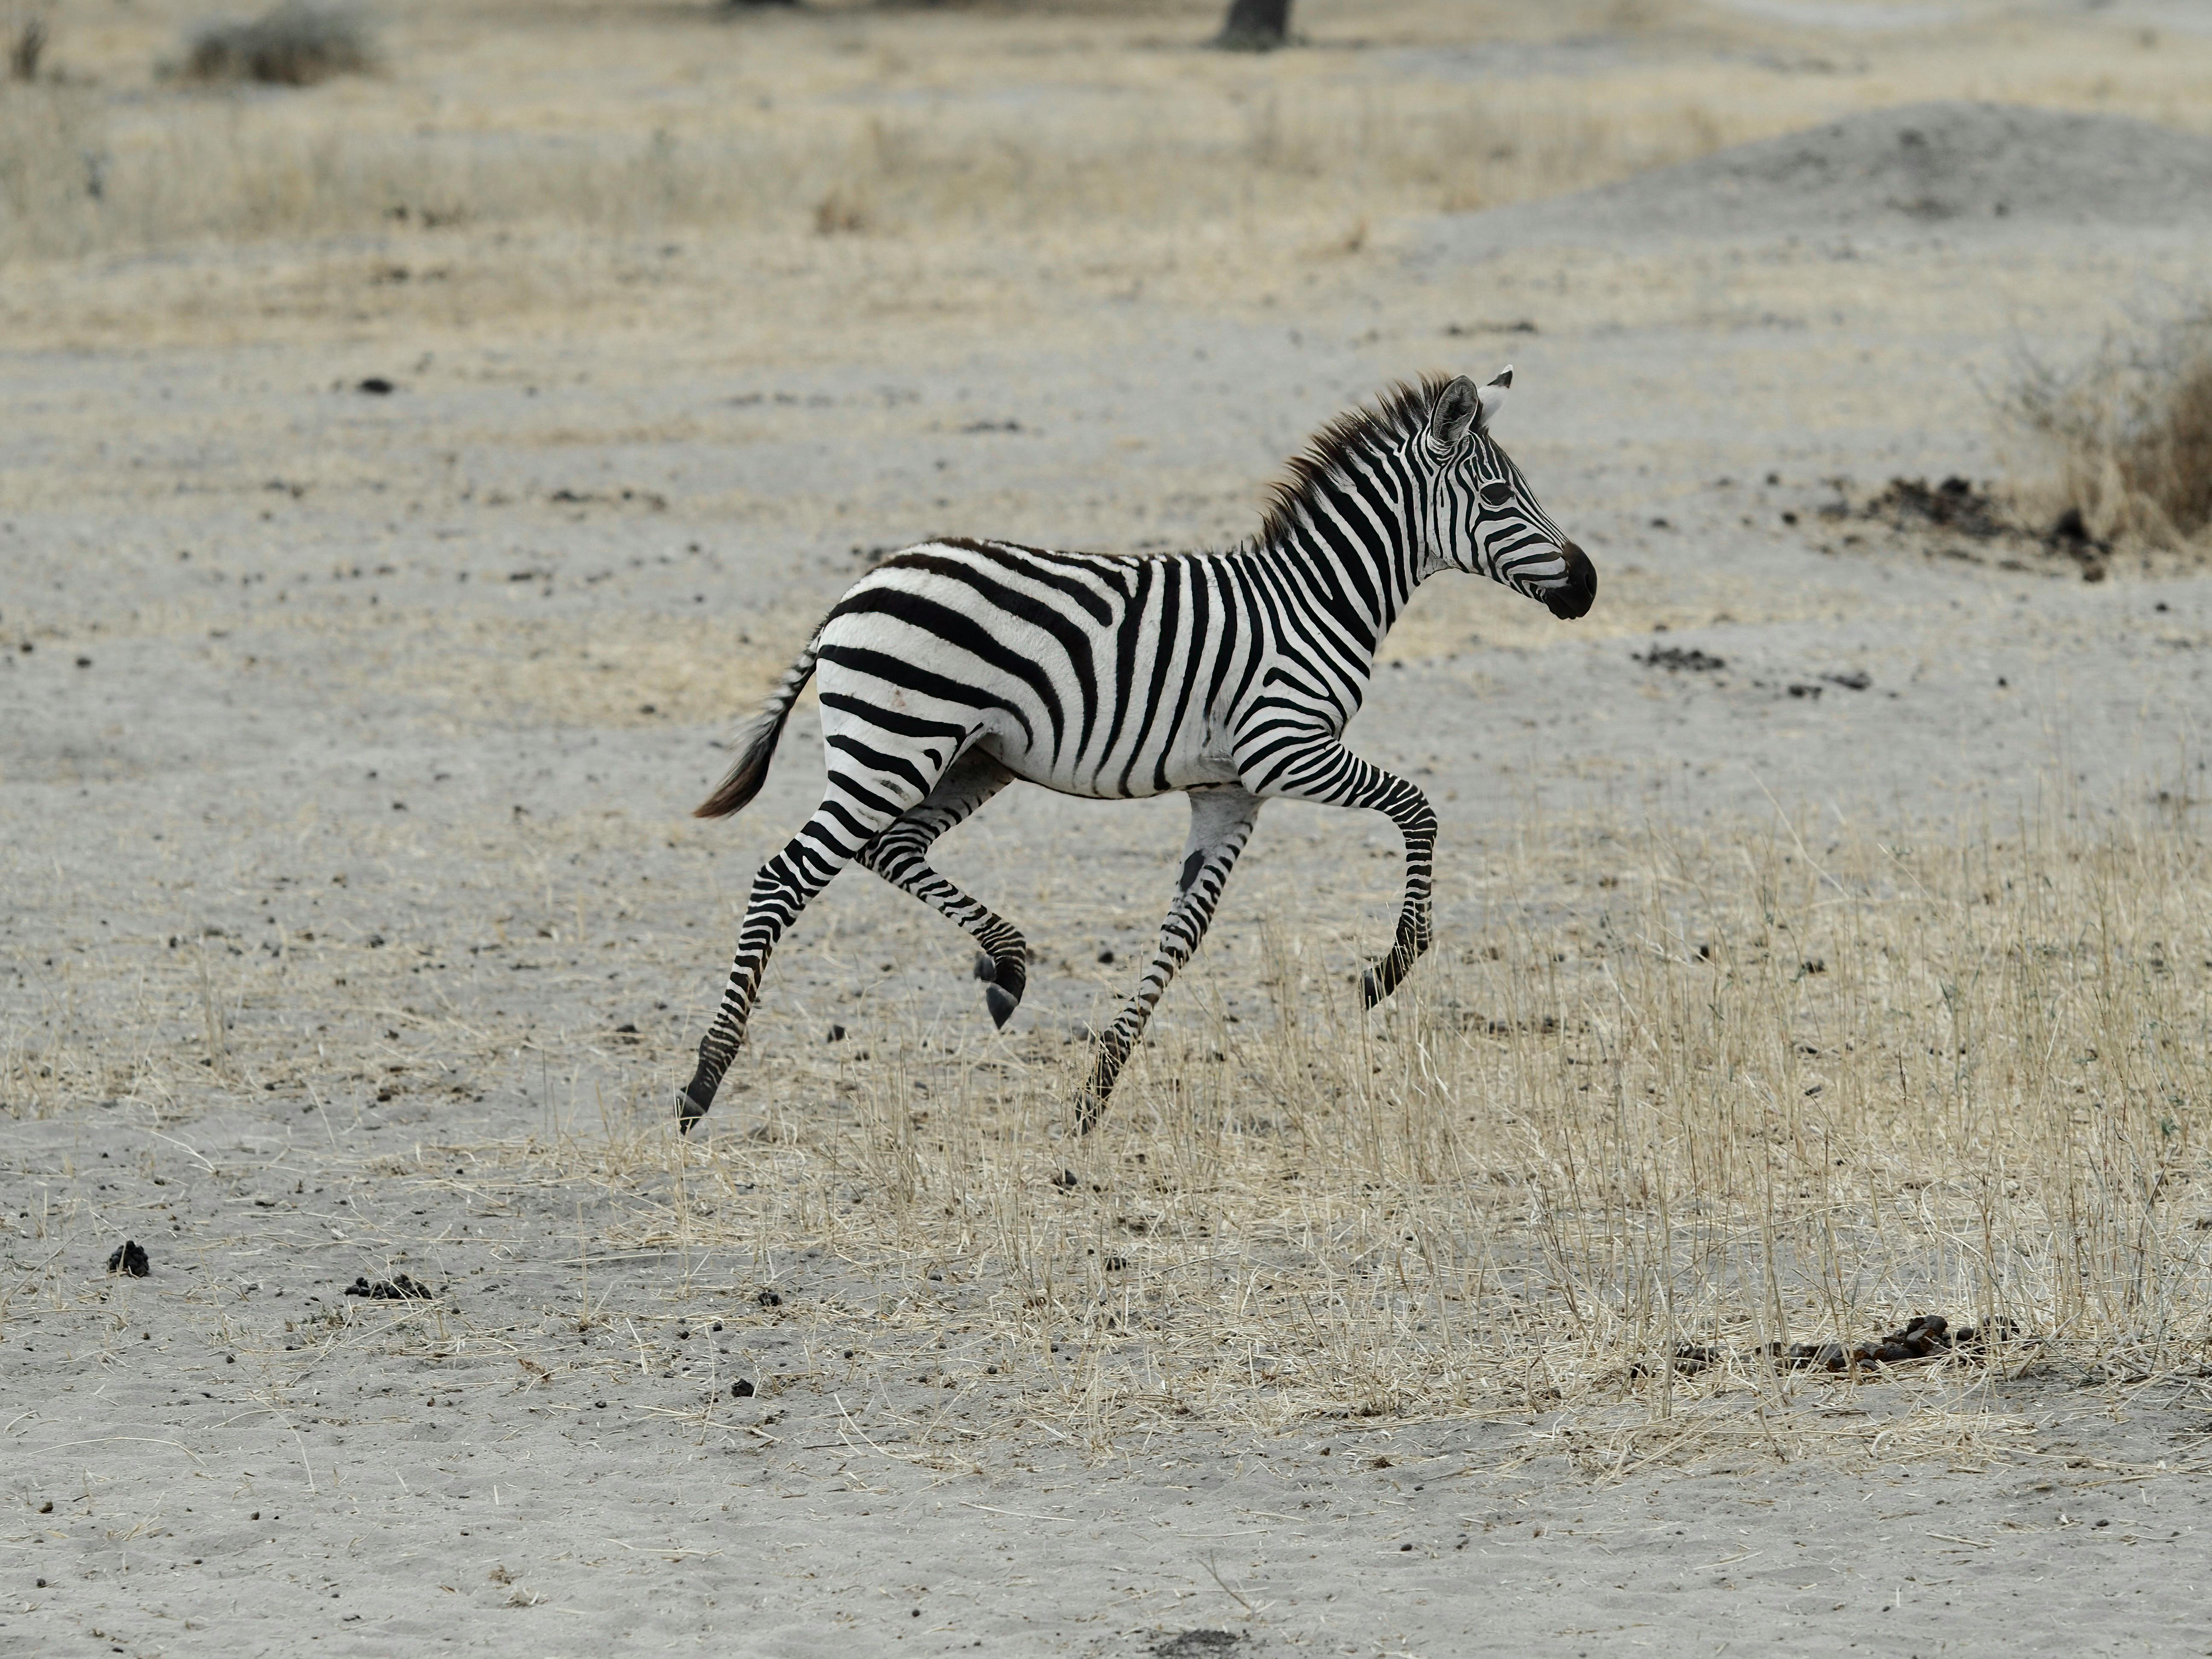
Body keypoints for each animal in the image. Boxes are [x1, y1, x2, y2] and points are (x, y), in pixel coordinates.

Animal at [678, 369, 1594, 1135]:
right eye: (1496, 494)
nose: (1585, 586)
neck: (1315, 600)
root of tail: (856, 590)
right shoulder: (1286, 749)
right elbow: (1417, 807)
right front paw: (1388, 969)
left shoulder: (1230, 790)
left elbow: (1182, 934)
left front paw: (1095, 1089)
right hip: (895, 744)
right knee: (783, 876)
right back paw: (701, 1084)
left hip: (968, 756)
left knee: (888, 848)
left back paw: (1006, 967)